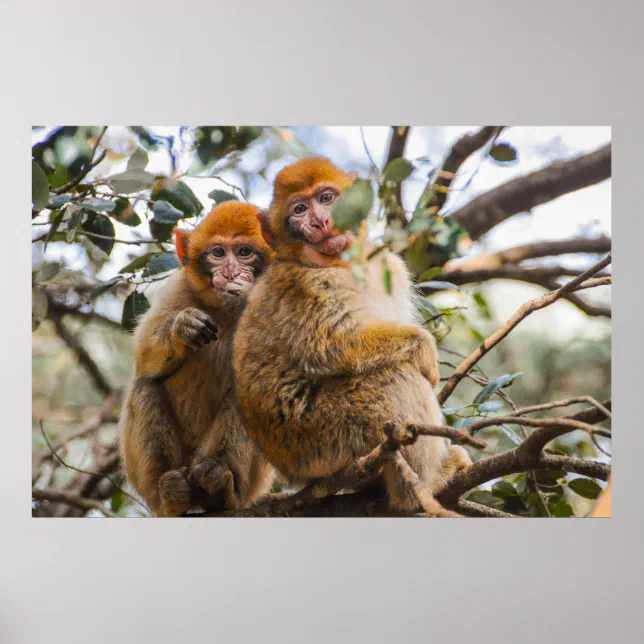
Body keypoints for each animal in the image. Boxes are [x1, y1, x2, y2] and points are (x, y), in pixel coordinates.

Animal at [119, 201, 276, 516]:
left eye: (244, 252)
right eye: (218, 253)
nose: (229, 271)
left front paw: (245, 295)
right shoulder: (179, 287)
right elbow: (144, 358)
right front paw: (182, 327)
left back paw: (219, 487)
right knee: (145, 385)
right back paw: (171, 494)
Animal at [232, 157, 471, 513]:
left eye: (326, 198)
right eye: (299, 209)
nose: (319, 221)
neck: (344, 263)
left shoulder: (389, 265)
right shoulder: (309, 285)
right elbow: (330, 346)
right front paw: (425, 350)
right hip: (322, 437)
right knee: (396, 378)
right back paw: (418, 491)